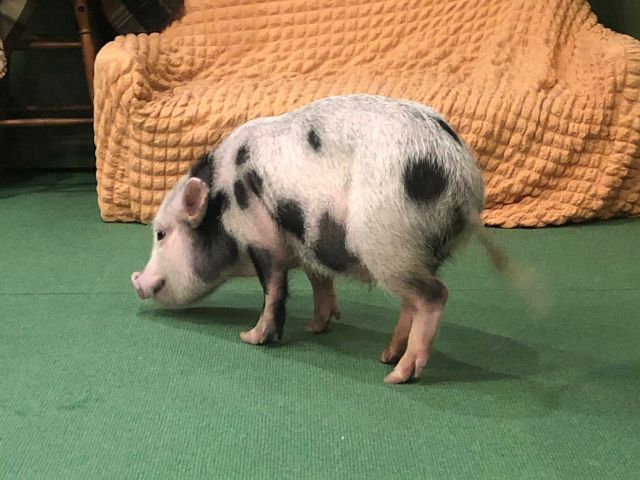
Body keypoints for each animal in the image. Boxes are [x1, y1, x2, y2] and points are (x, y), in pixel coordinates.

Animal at [131, 94, 505, 384]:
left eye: (161, 234)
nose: (136, 280)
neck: (223, 202)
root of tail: (460, 176)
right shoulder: (307, 244)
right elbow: (319, 280)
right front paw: (315, 327)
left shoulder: (259, 233)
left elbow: (274, 289)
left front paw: (250, 337)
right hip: (409, 254)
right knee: (412, 301)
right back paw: (386, 355)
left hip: (386, 242)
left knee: (434, 296)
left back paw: (397, 375)